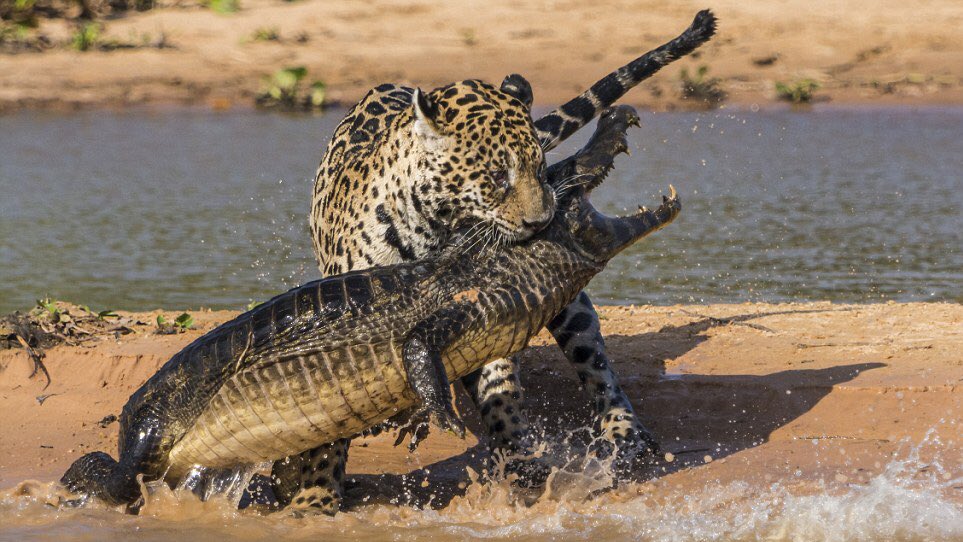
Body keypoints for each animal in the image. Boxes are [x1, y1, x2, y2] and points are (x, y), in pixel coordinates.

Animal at [273, 9, 717, 515]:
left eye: (540, 167)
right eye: (496, 176)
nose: (542, 221)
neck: (436, 229)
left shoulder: (489, 306)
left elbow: (499, 385)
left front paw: (518, 460)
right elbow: (327, 425)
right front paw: (315, 498)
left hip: (573, 310)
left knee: (598, 366)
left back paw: (624, 432)